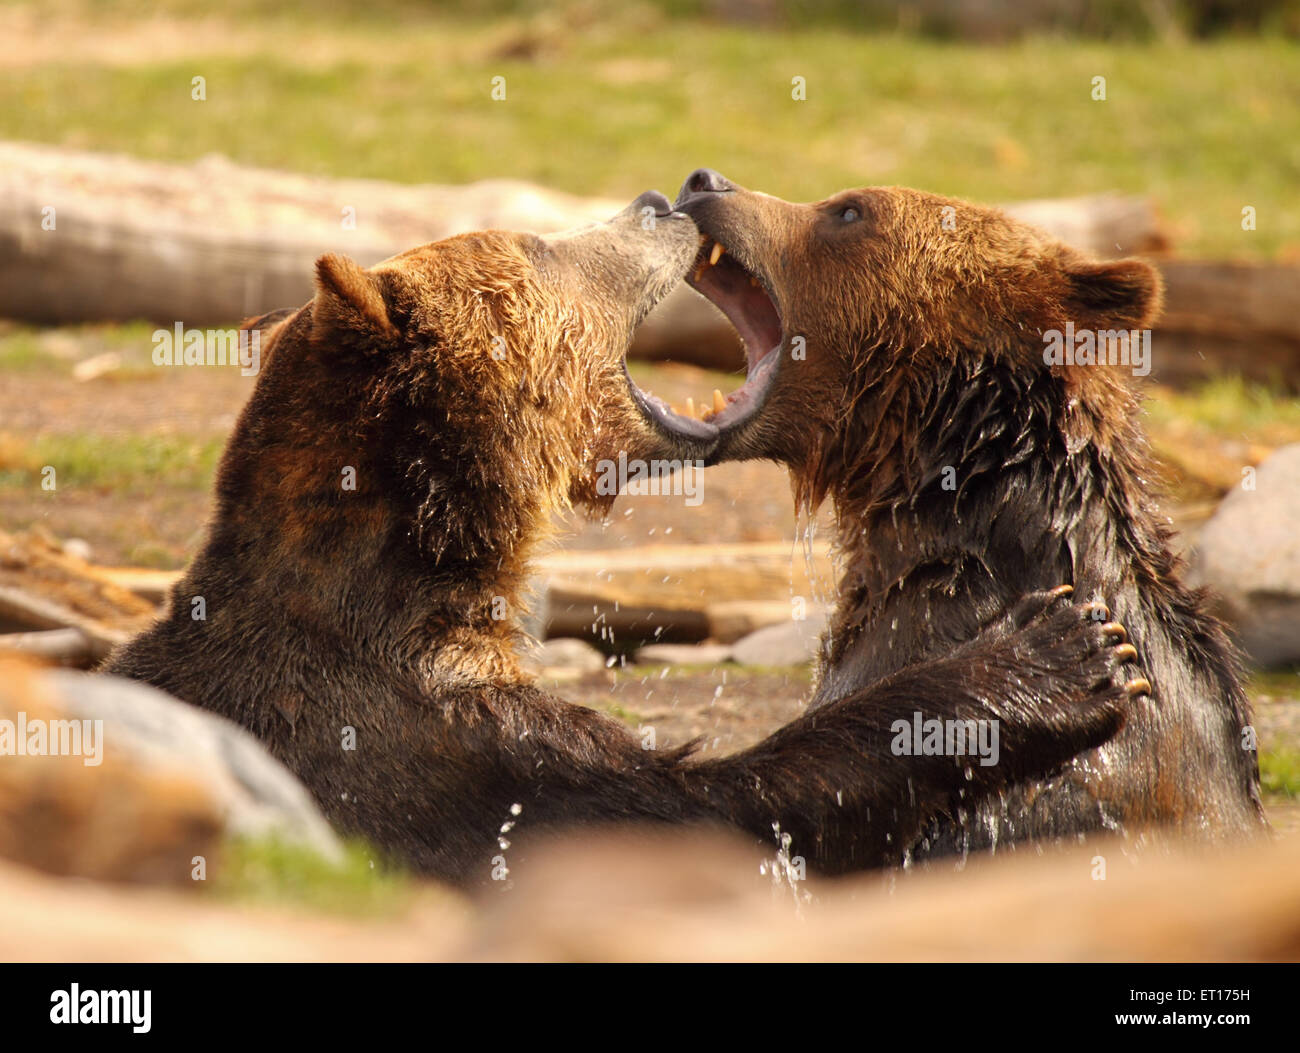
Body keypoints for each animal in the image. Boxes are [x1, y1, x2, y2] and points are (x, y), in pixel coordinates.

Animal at [105, 191, 1147, 884]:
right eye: (537, 244)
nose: (653, 201)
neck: (414, 575)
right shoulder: (428, 746)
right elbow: (715, 812)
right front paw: (1066, 651)